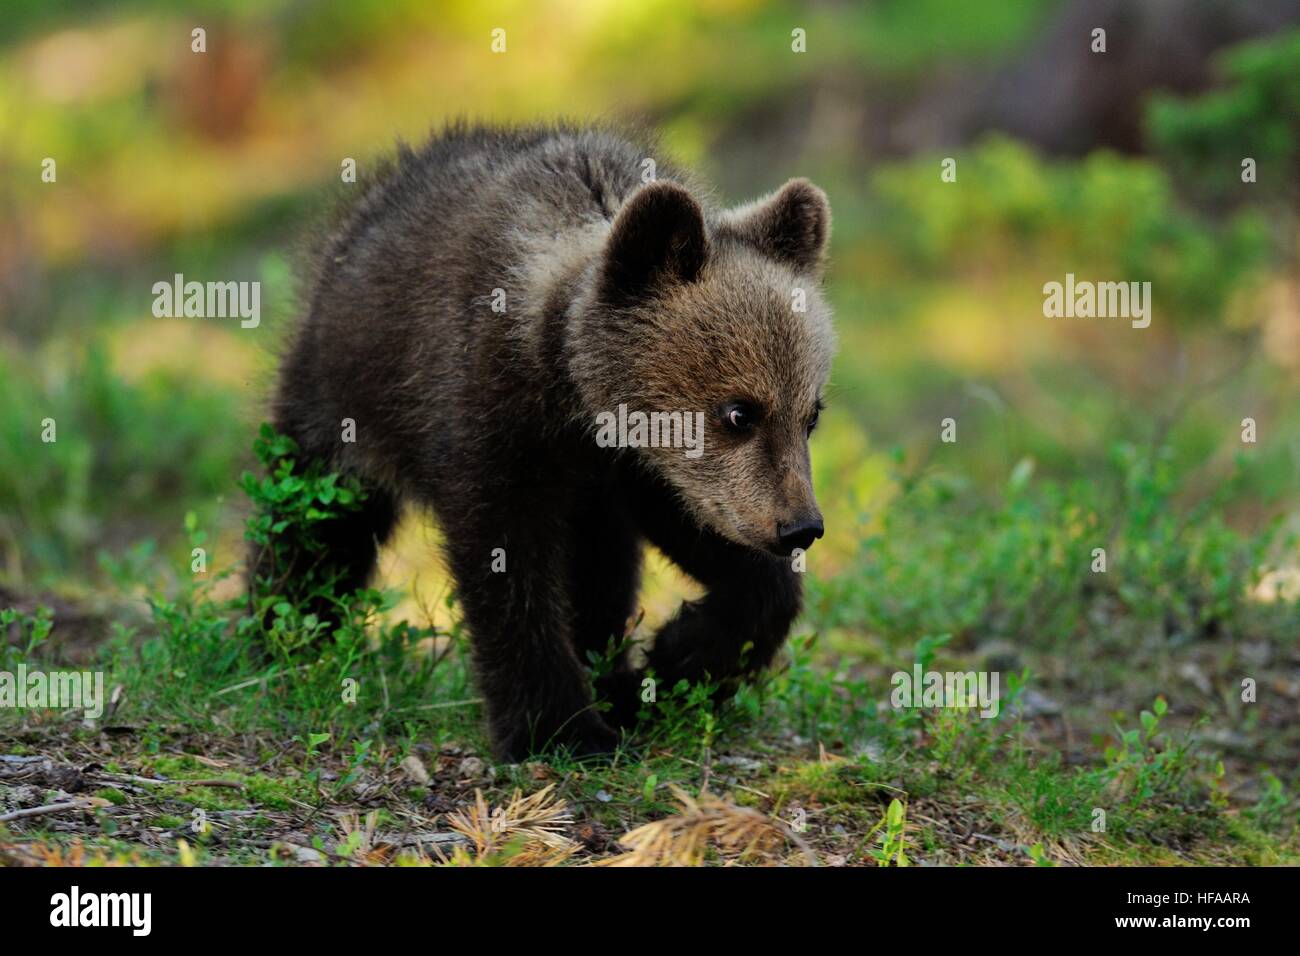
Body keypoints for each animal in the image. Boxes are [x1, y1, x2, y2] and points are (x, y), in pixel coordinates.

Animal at [251, 120, 836, 761]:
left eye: (811, 413)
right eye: (738, 412)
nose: (801, 526)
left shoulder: (642, 469)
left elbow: (726, 557)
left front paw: (669, 662)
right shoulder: (490, 416)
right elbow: (506, 565)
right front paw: (559, 725)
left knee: (601, 565)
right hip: (343, 394)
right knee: (317, 516)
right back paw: (283, 637)